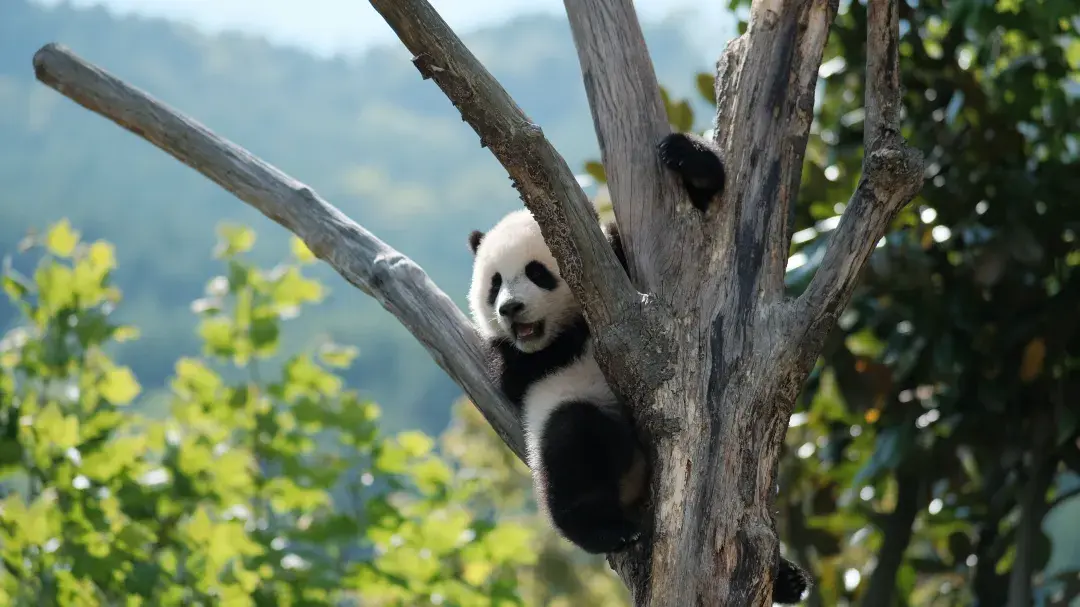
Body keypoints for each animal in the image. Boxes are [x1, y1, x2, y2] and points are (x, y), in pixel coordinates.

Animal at [466, 132, 810, 603]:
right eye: (495, 283)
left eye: (537, 273)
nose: (510, 309)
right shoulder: (518, 361)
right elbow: (518, 374)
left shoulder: (620, 265)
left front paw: (689, 159)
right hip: (578, 424)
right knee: (569, 442)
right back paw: (607, 529)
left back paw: (787, 578)